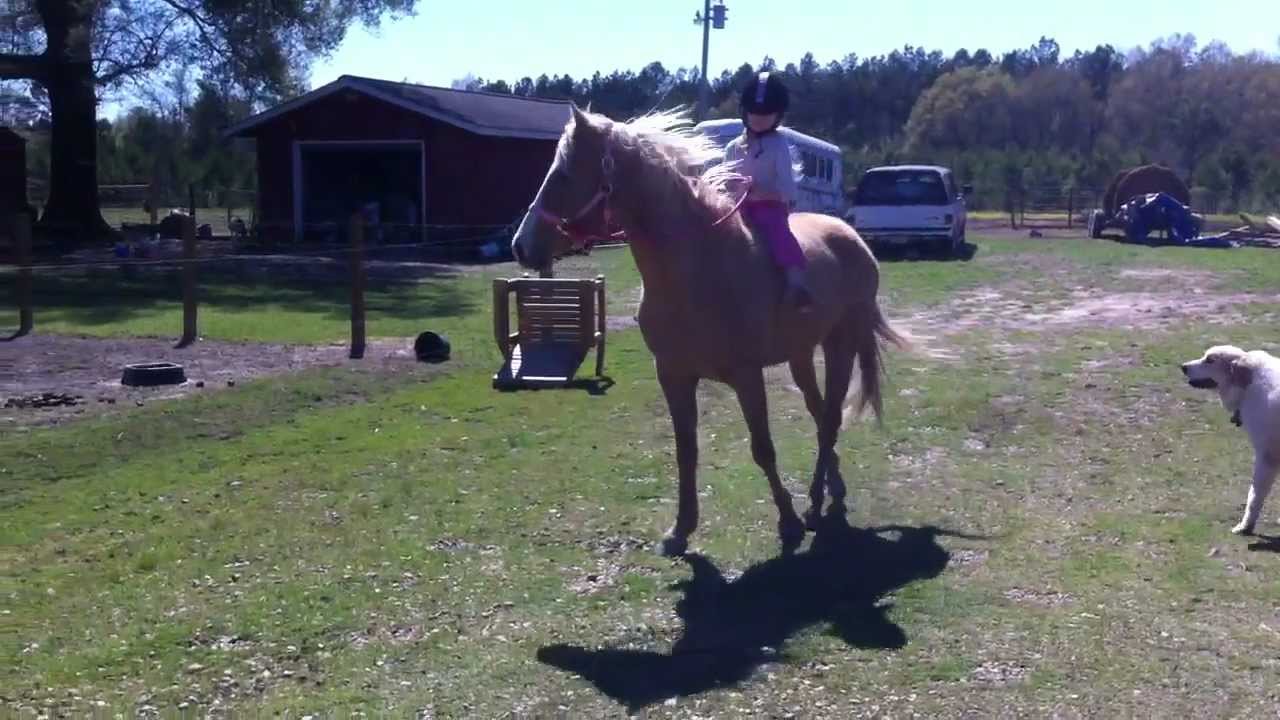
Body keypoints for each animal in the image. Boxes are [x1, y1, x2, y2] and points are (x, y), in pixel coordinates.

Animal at [511, 104, 909, 556]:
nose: (520, 246)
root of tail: (854, 239)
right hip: (801, 355)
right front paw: (681, 528)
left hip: (840, 345)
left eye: (561, 175)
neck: (698, 268)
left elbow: (763, 448)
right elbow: (686, 450)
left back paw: (812, 504)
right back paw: (831, 490)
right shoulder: (673, 375)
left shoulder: (747, 376)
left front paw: (787, 521)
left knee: (829, 419)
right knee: (820, 412)